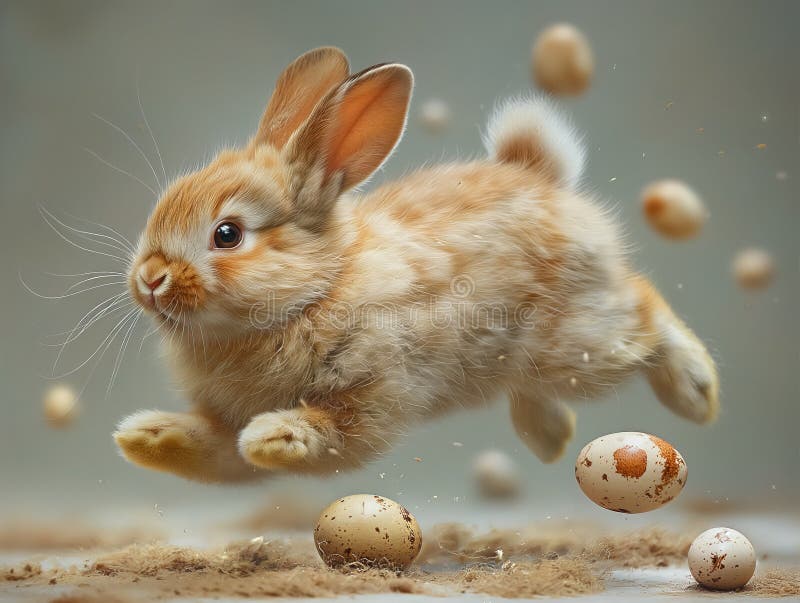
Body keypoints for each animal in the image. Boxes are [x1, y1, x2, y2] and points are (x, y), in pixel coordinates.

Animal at [114, 46, 719, 483]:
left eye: (228, 234)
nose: (149, 279)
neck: (318, 288)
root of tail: (544, 178)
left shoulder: (377, 386)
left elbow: (336, 431)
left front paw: (276, 436)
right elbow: (221, 452)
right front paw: (146, 437)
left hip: (579, 341)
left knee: (646, 309)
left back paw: (698, 394)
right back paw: (549, 438)